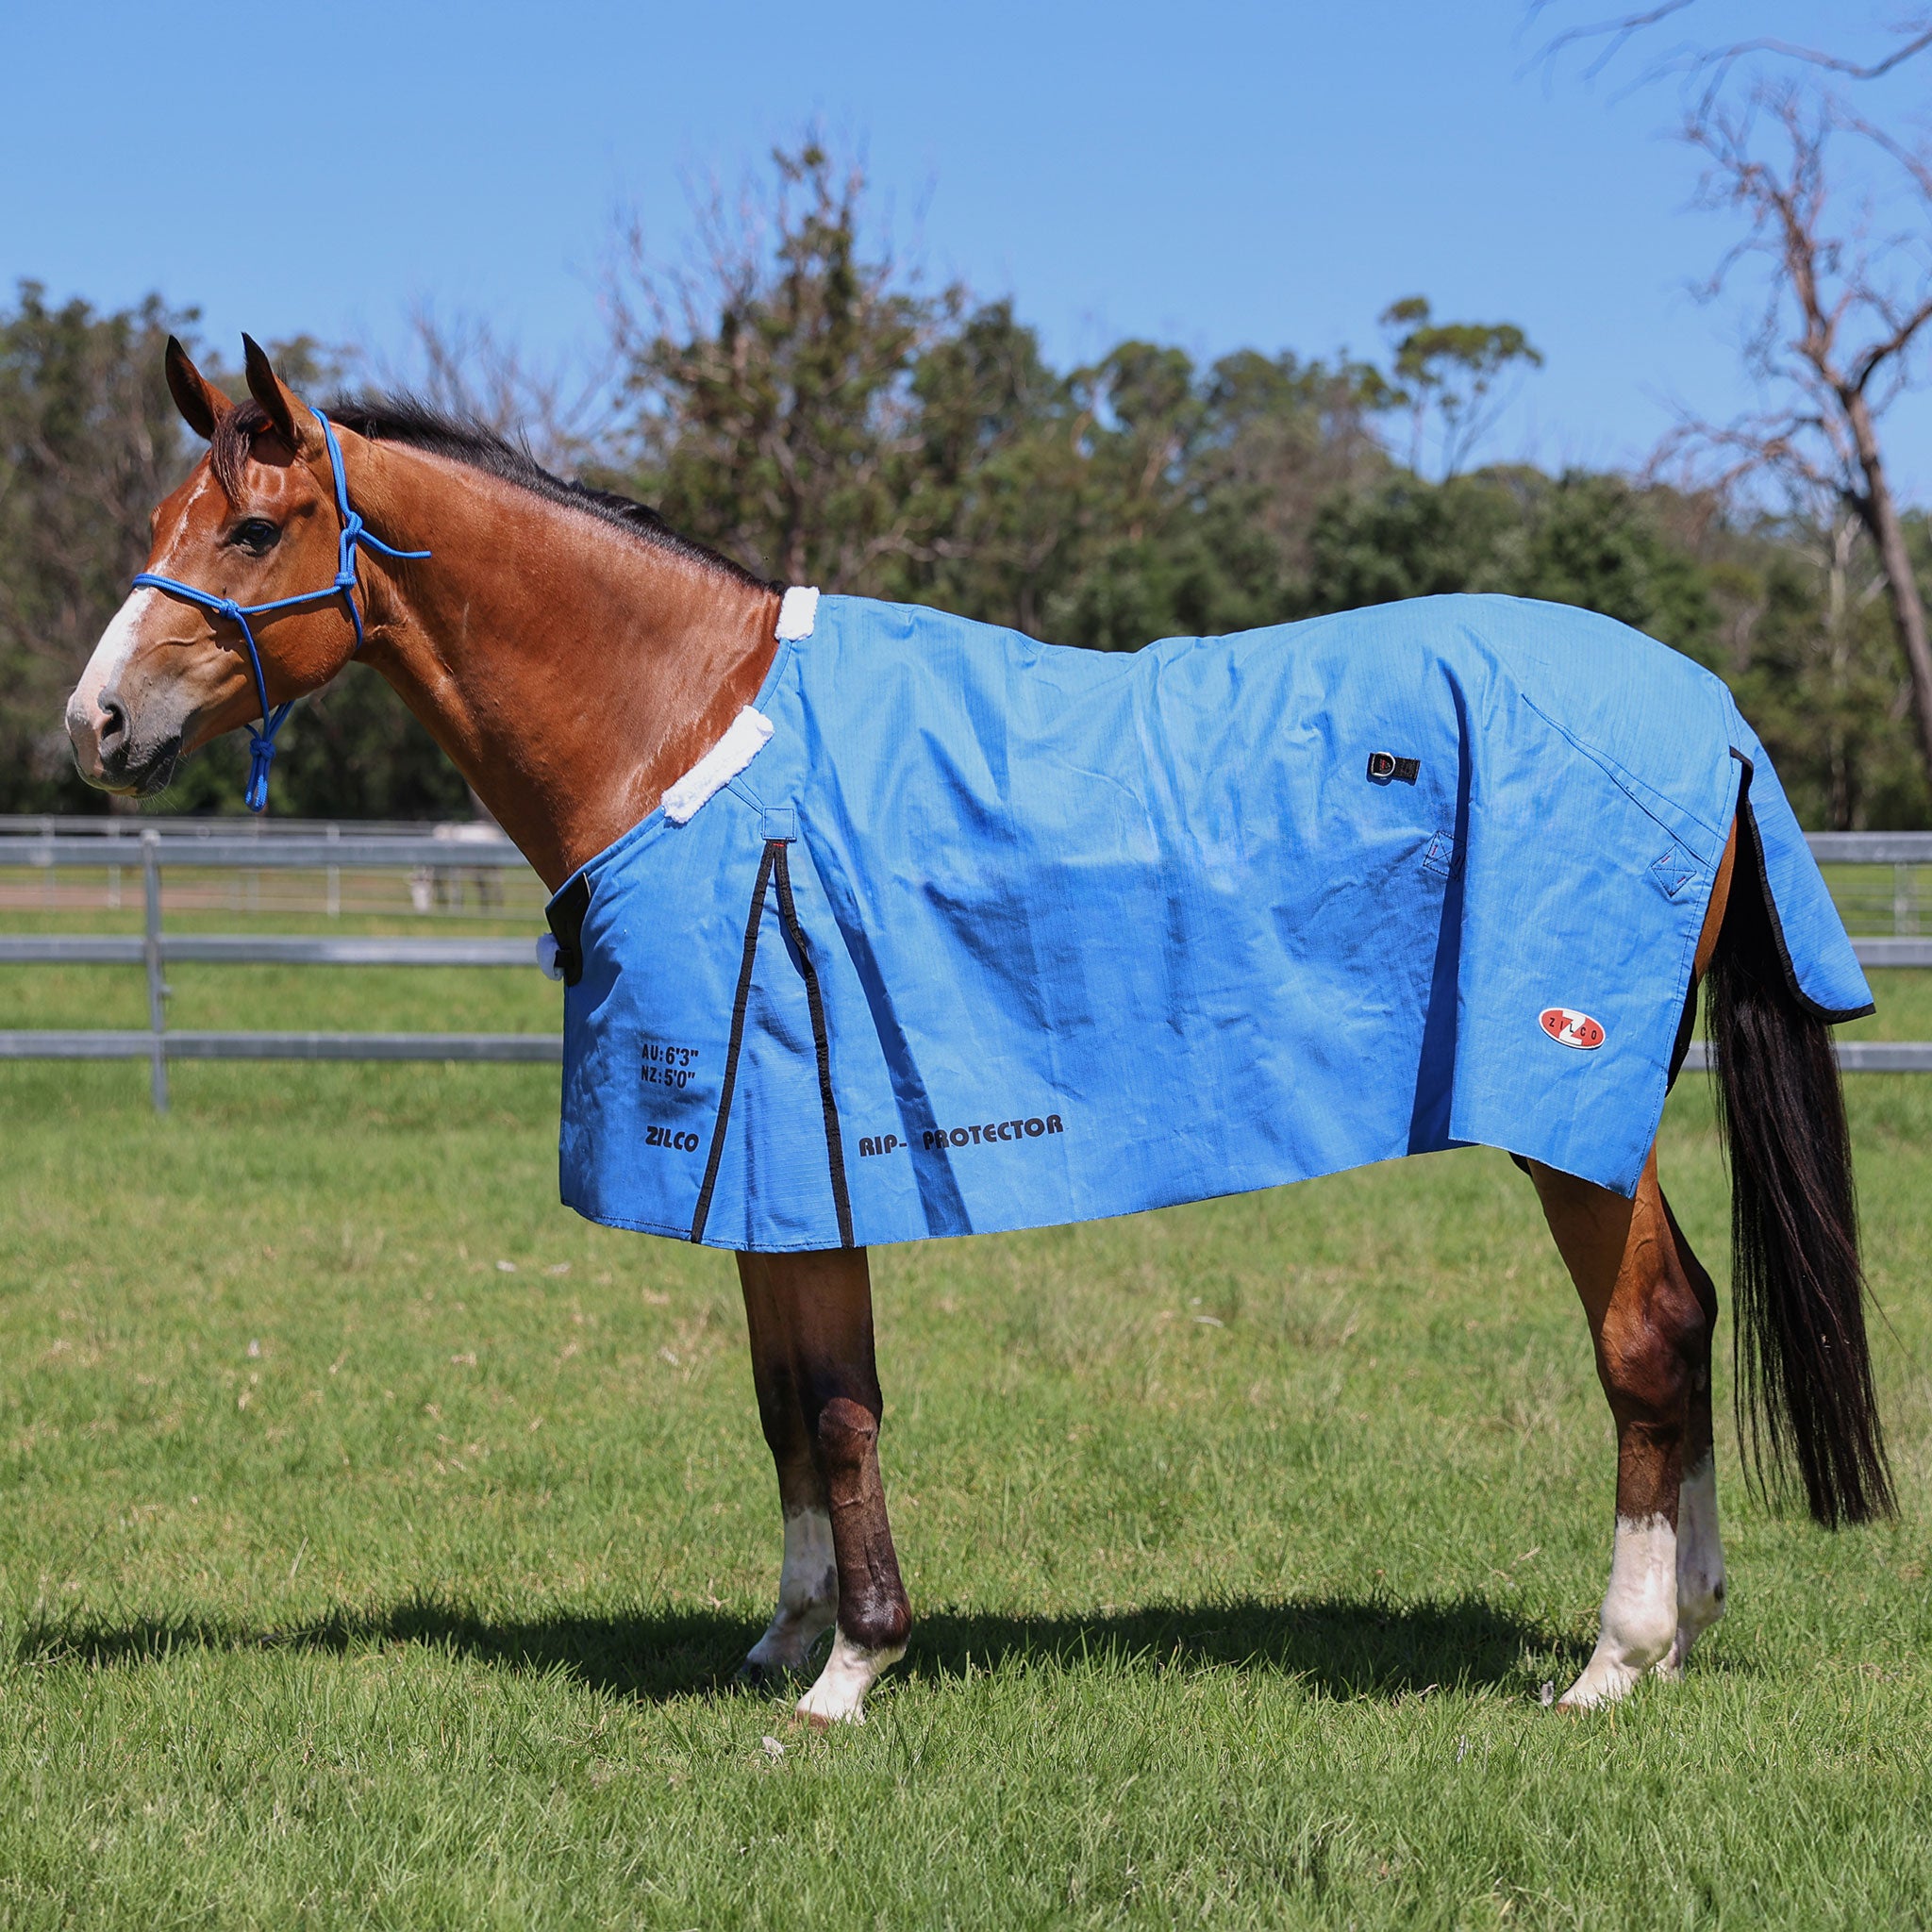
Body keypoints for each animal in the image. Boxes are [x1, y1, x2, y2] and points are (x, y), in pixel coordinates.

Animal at [64, 337, 1893, 1724]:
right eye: (167, 512)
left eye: (252, 532)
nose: (95, 725)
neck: (689, 728)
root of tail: (1711, 712)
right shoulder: (761, 1165)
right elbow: (781, 1403)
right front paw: (788, 1634)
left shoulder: (804, 1144)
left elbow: (842, 1407)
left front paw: (852, 1673)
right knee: (1686, 1321)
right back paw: (1688, 1625)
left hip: (1564, 1109)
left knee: (1647, 1333)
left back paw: (1613, 1659)